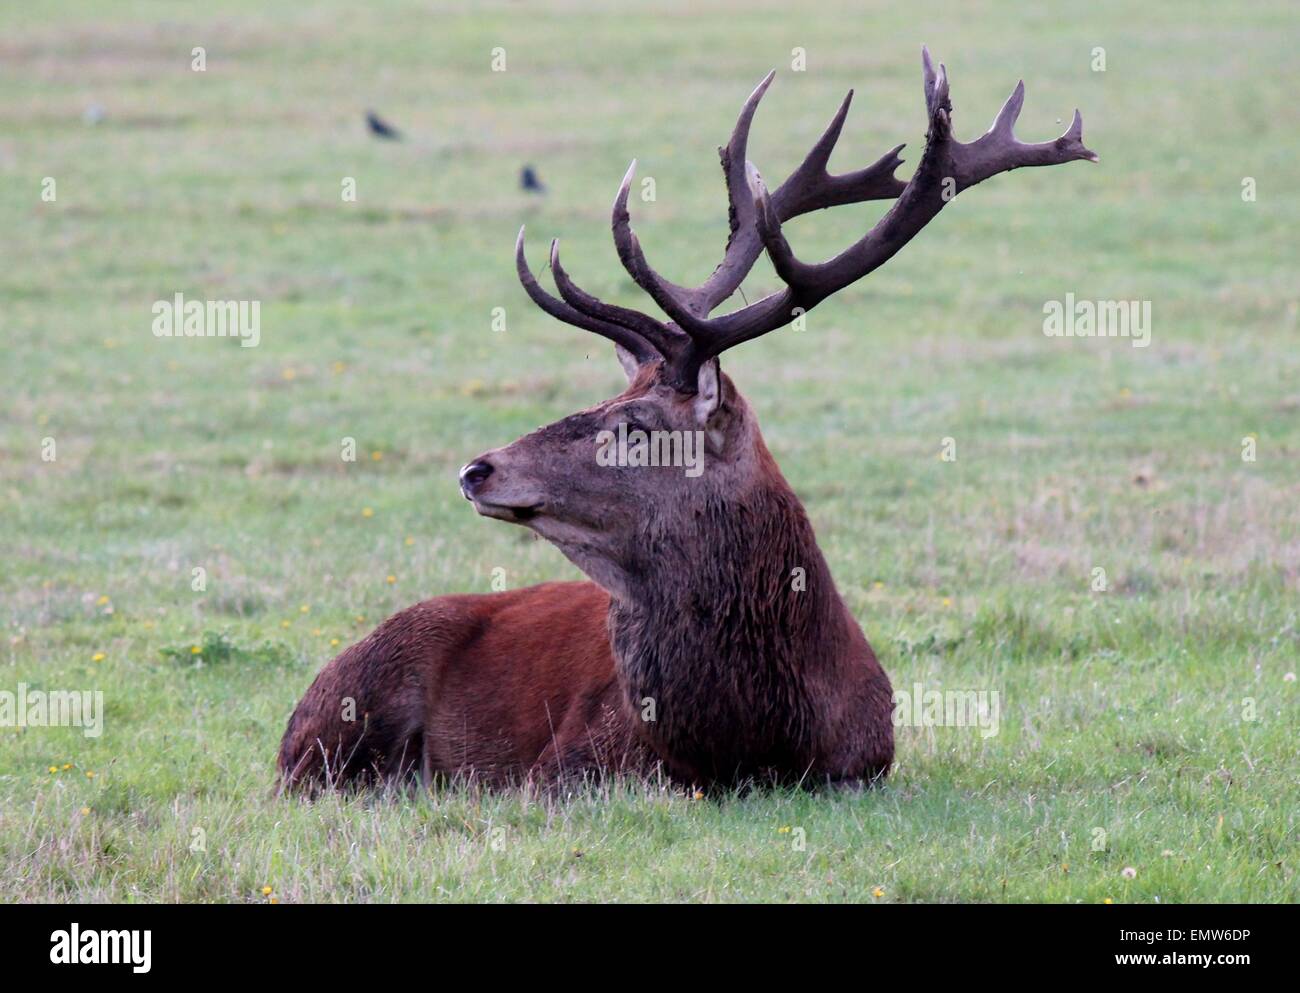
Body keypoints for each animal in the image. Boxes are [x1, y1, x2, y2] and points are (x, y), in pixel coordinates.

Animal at [278, 47, 1095, 792]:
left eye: (635, 424)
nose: (477, 469)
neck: (750, 741)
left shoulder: (867, 764)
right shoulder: (558, 768)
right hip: (339, 717)